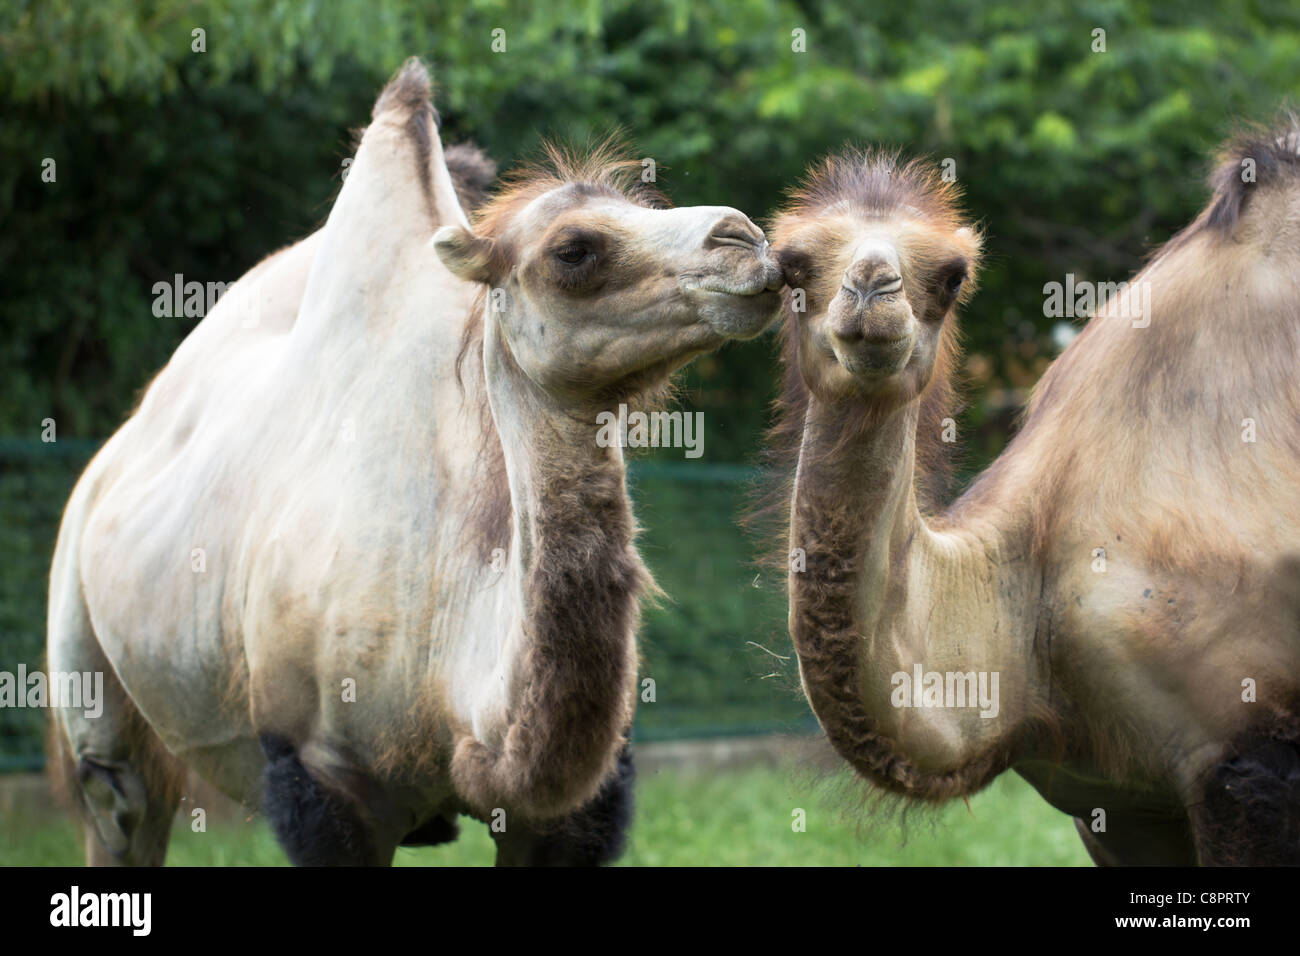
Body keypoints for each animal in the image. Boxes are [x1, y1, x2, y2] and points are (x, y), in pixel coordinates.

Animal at [46, 59, 783, 866]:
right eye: (573, 250)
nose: (747, 239)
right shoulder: (322, 779)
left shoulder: (571, 805)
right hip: (82, 640)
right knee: (120, 796)